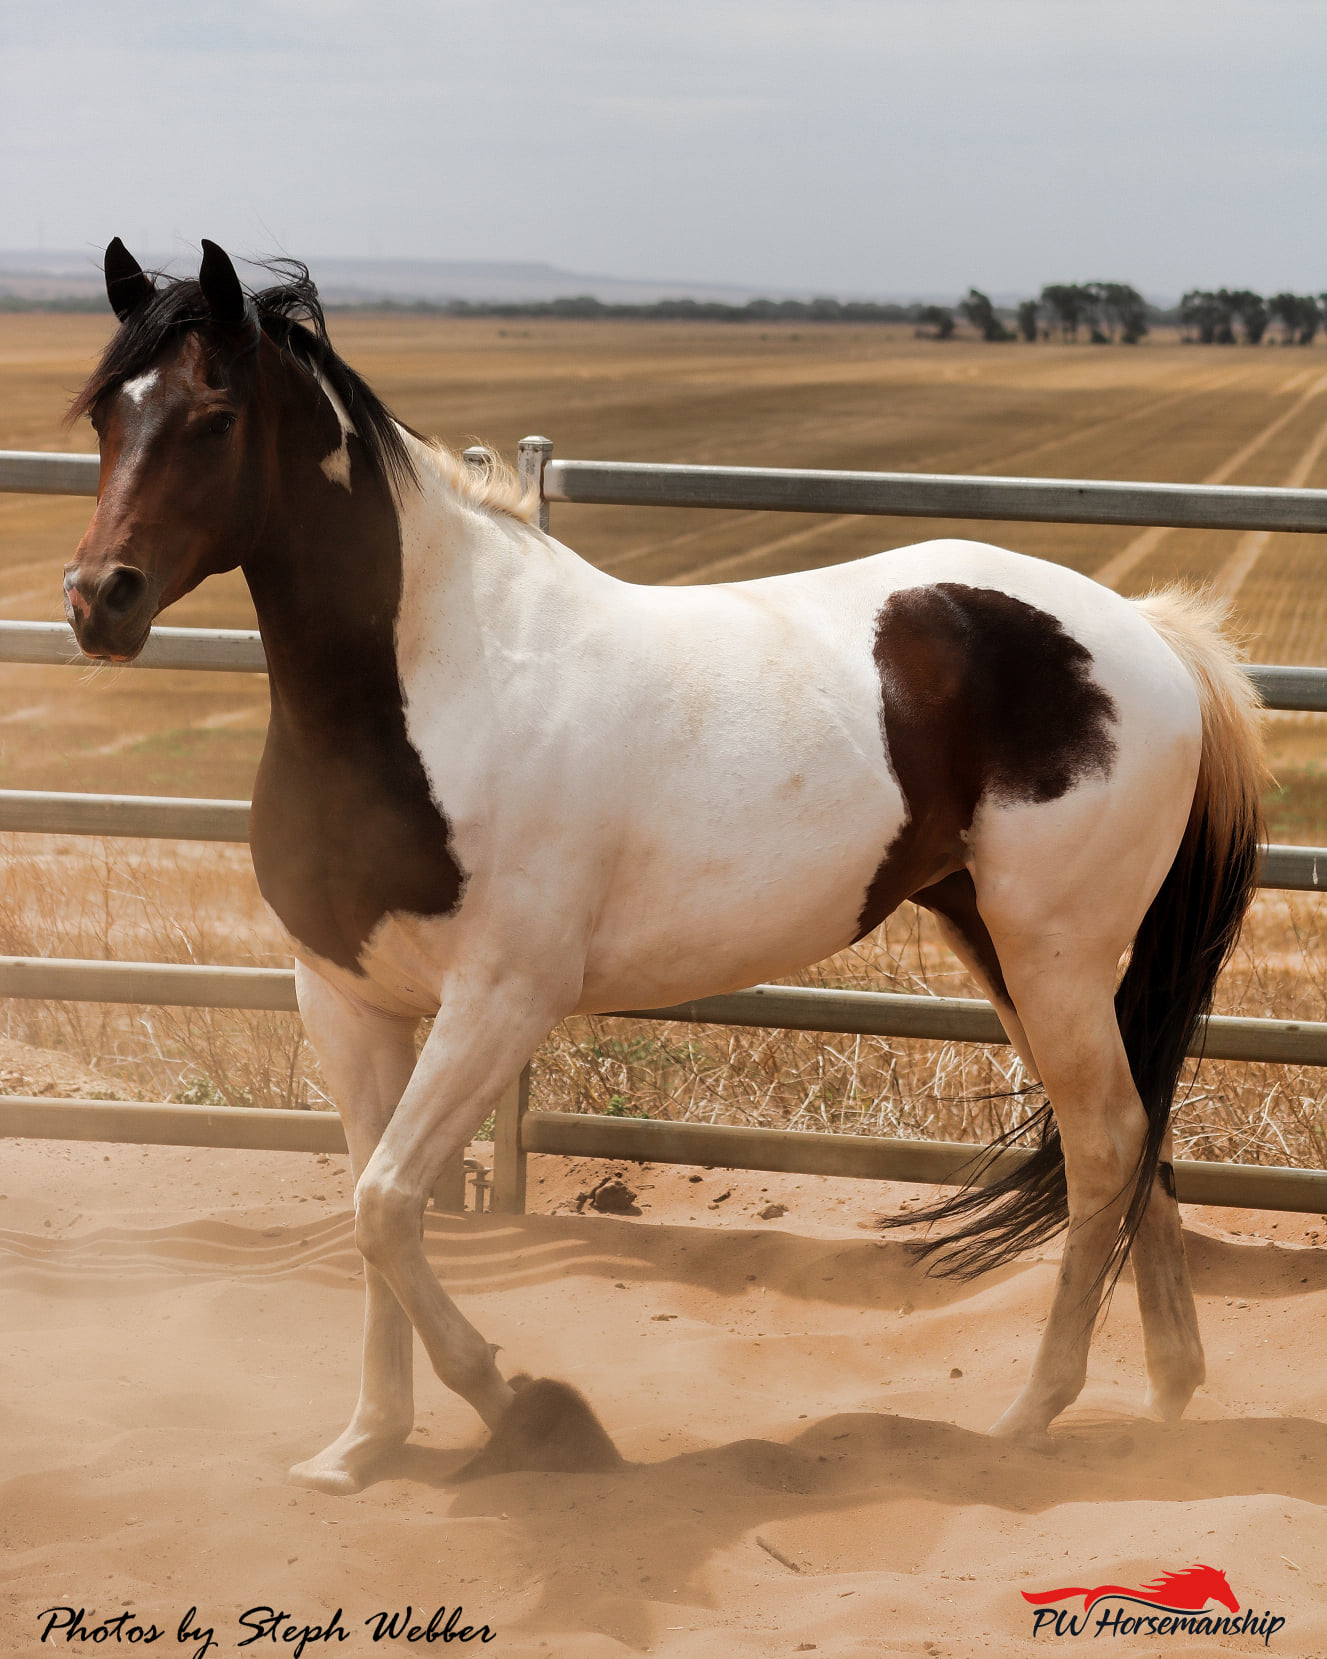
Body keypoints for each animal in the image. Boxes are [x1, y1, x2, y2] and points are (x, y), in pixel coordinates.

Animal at [62, 239, 1265, 1494]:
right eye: (107, 412)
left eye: (215, 416)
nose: (100, 602)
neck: (434, 680)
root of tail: (1145, 632)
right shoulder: (346, 1003)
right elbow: (367, 1212)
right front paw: (364, 1443)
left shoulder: (501, 1001)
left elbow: (388, 1205)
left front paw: (528, 1409)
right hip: (996, 941)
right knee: (1132, 1135)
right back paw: (1167, 1391)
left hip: (1053, 954)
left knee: (1107, 1142)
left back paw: (1032, 1415)